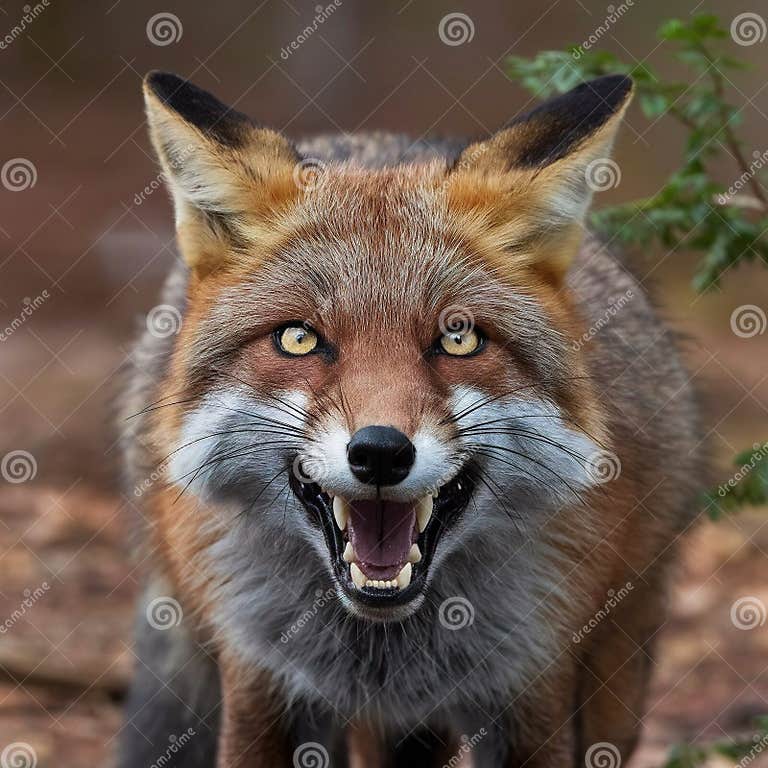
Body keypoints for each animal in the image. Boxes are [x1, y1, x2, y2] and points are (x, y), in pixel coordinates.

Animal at [117, 70, 702, 768]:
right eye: (297, 340)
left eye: (459, 339)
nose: (379, 452)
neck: (388, 647)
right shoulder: (261, 682)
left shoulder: (532, 686)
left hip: (615, 679)